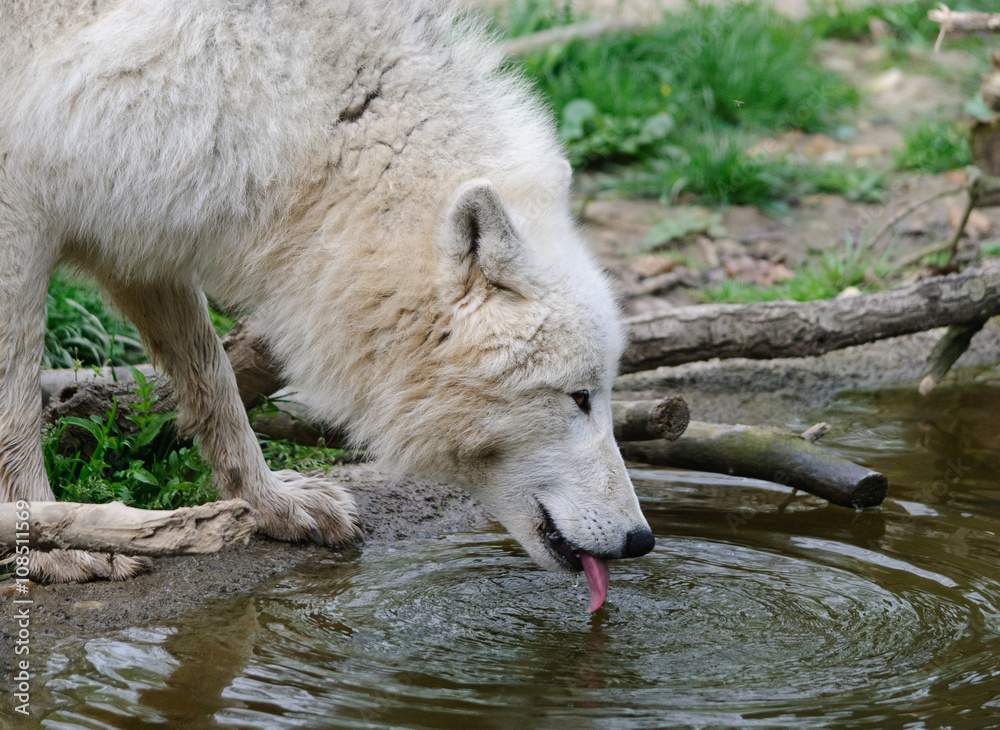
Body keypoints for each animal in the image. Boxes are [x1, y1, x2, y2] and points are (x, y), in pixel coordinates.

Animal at [0, 0, 654, 608]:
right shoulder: (22, 213)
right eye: (578, 397)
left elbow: (214, 377)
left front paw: (271, 504)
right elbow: (17, 395)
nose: (642, 539)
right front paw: (53, 543)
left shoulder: (138, 222)